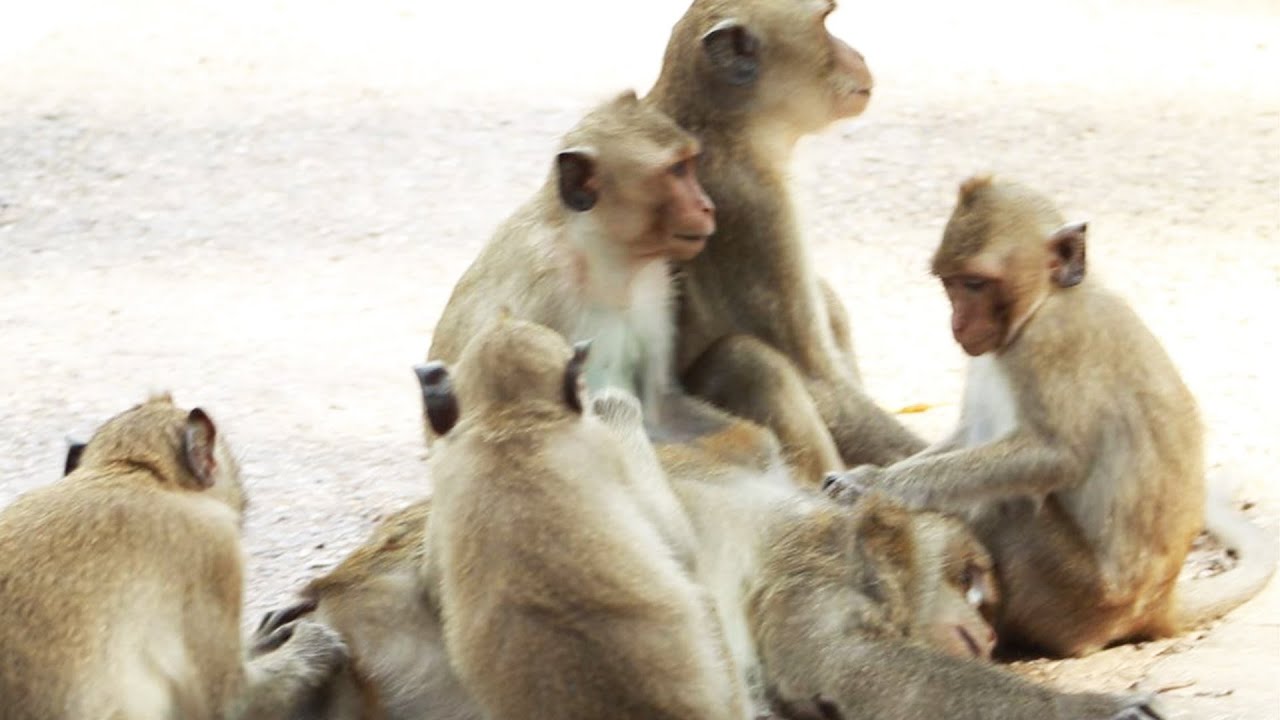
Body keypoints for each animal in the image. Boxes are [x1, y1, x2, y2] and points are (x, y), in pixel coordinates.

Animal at [419, 317, 750, 720]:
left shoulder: (448, 460)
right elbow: (680, 549)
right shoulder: (598, 441)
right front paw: (617, 409)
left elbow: (432, 589)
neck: (510, 419)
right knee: (703, 602)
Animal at [645, 0, 928, 478]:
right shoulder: (752, 206)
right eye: (826, 23)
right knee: (747, 362)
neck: (725, 127)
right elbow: (816, 378)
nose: (858, 54)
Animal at [823, 175, 1278, 657]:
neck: (1048, 299)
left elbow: (1055, 456)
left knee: (1009, 503)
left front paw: (875, 486)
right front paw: (865, 474)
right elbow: (969, 434)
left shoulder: (1052, 343)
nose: (957, 324)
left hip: (1083, 602)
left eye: (976, 283)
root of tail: (1159, 603)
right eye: (950, 283)